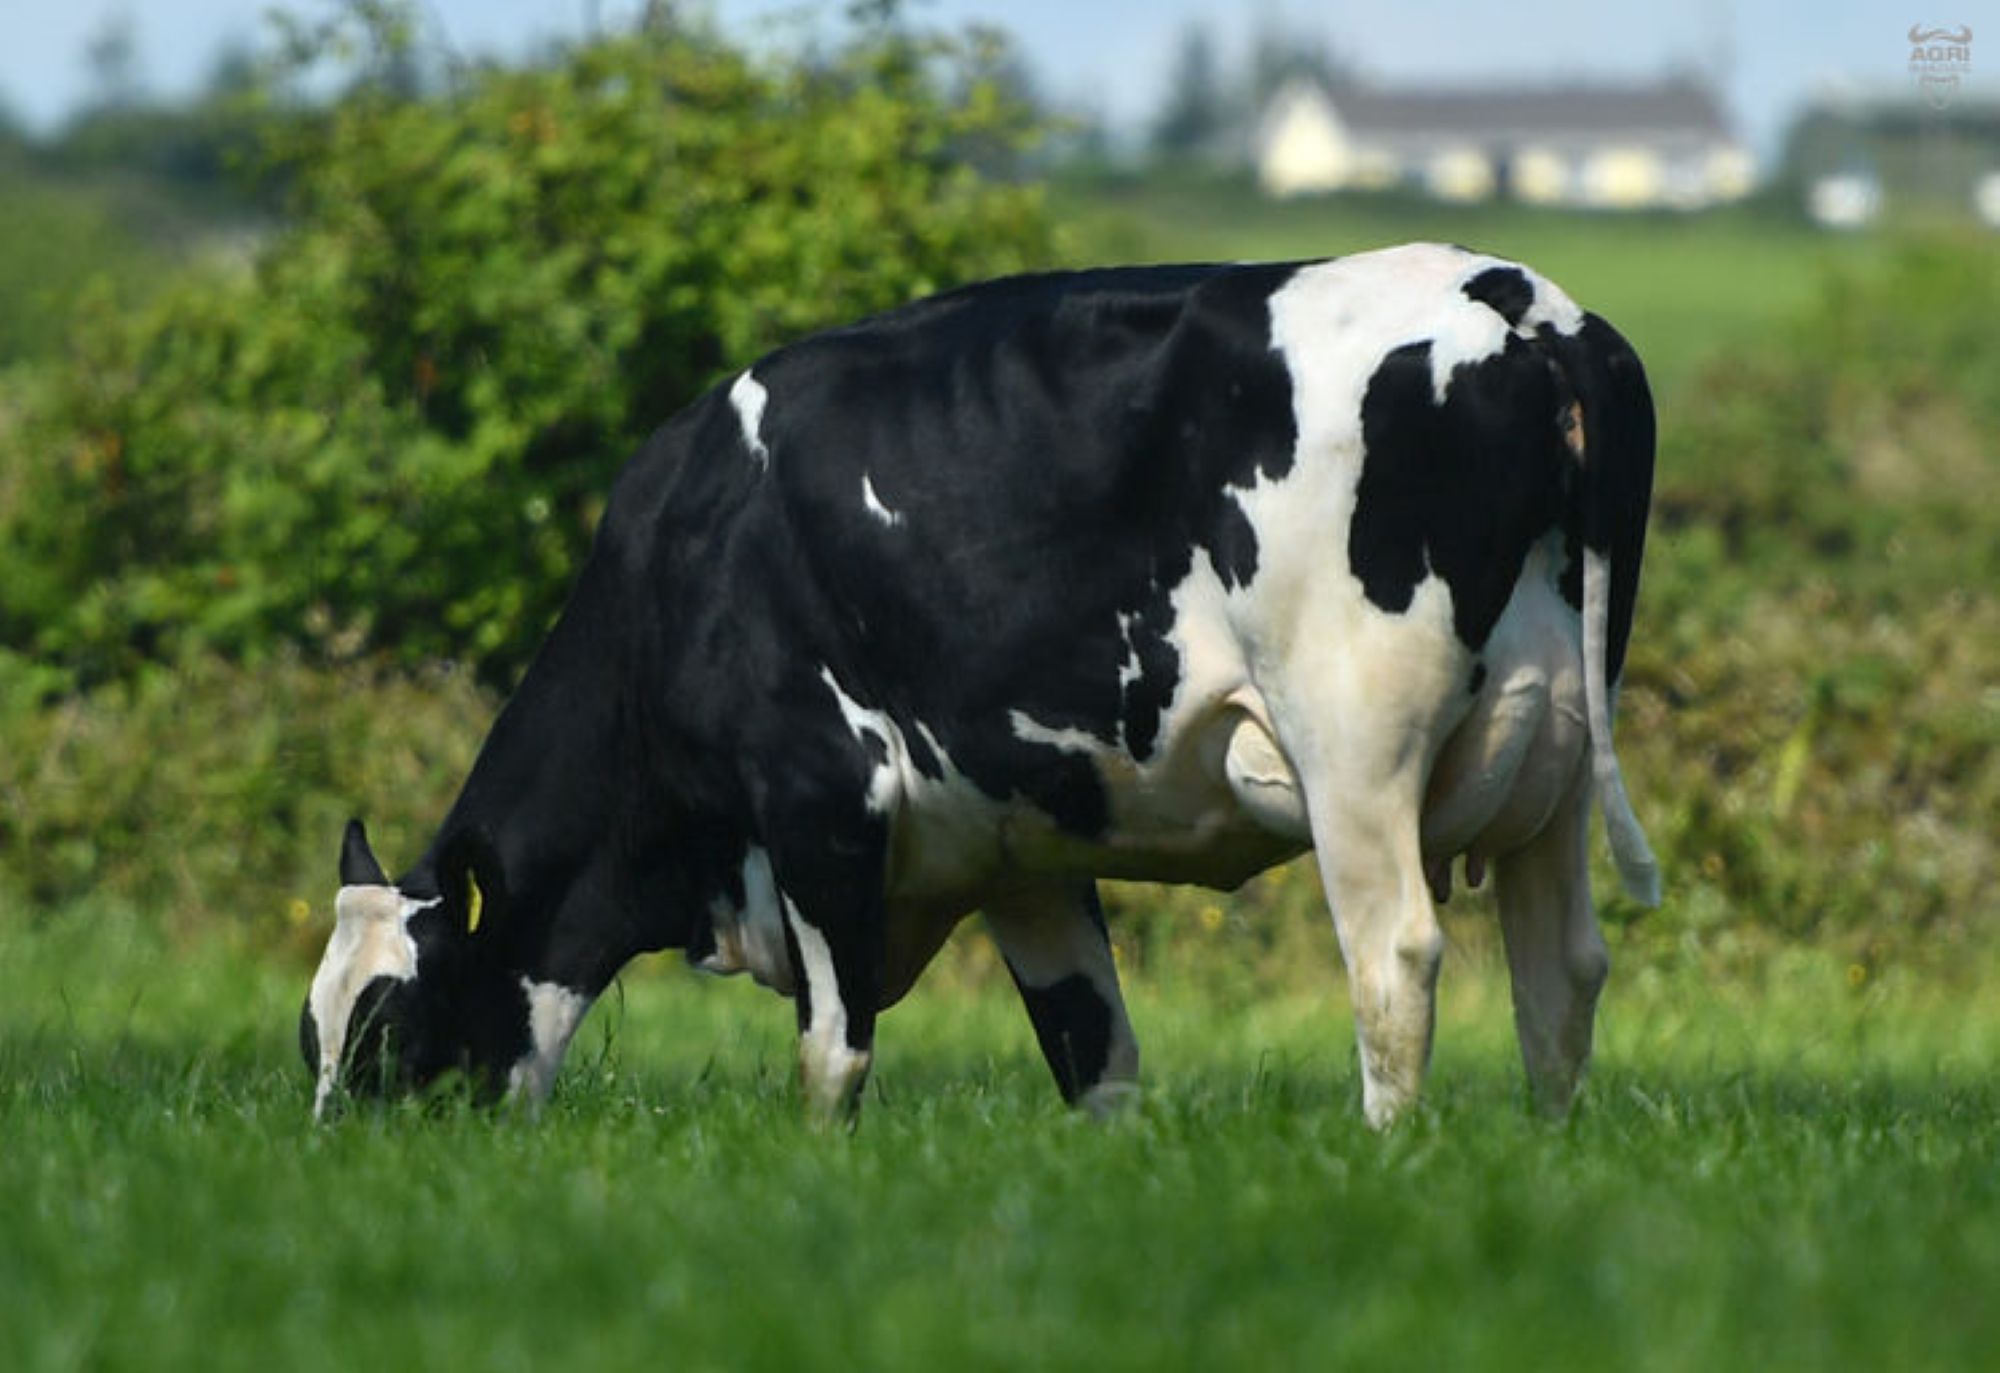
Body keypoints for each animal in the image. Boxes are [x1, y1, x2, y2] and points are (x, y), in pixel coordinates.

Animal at [302, 242, 1658, 1129]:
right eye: (308, 1031)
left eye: (388, 1030)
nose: (335, 1161)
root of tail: (1524, 307)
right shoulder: (1019, 848)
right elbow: (1094, 1052)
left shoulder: (823, 799)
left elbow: (830, 1058)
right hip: (1550, 754)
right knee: (1559, 973)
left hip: (1354, 743)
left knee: (1395, 959)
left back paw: (1386, 1155)